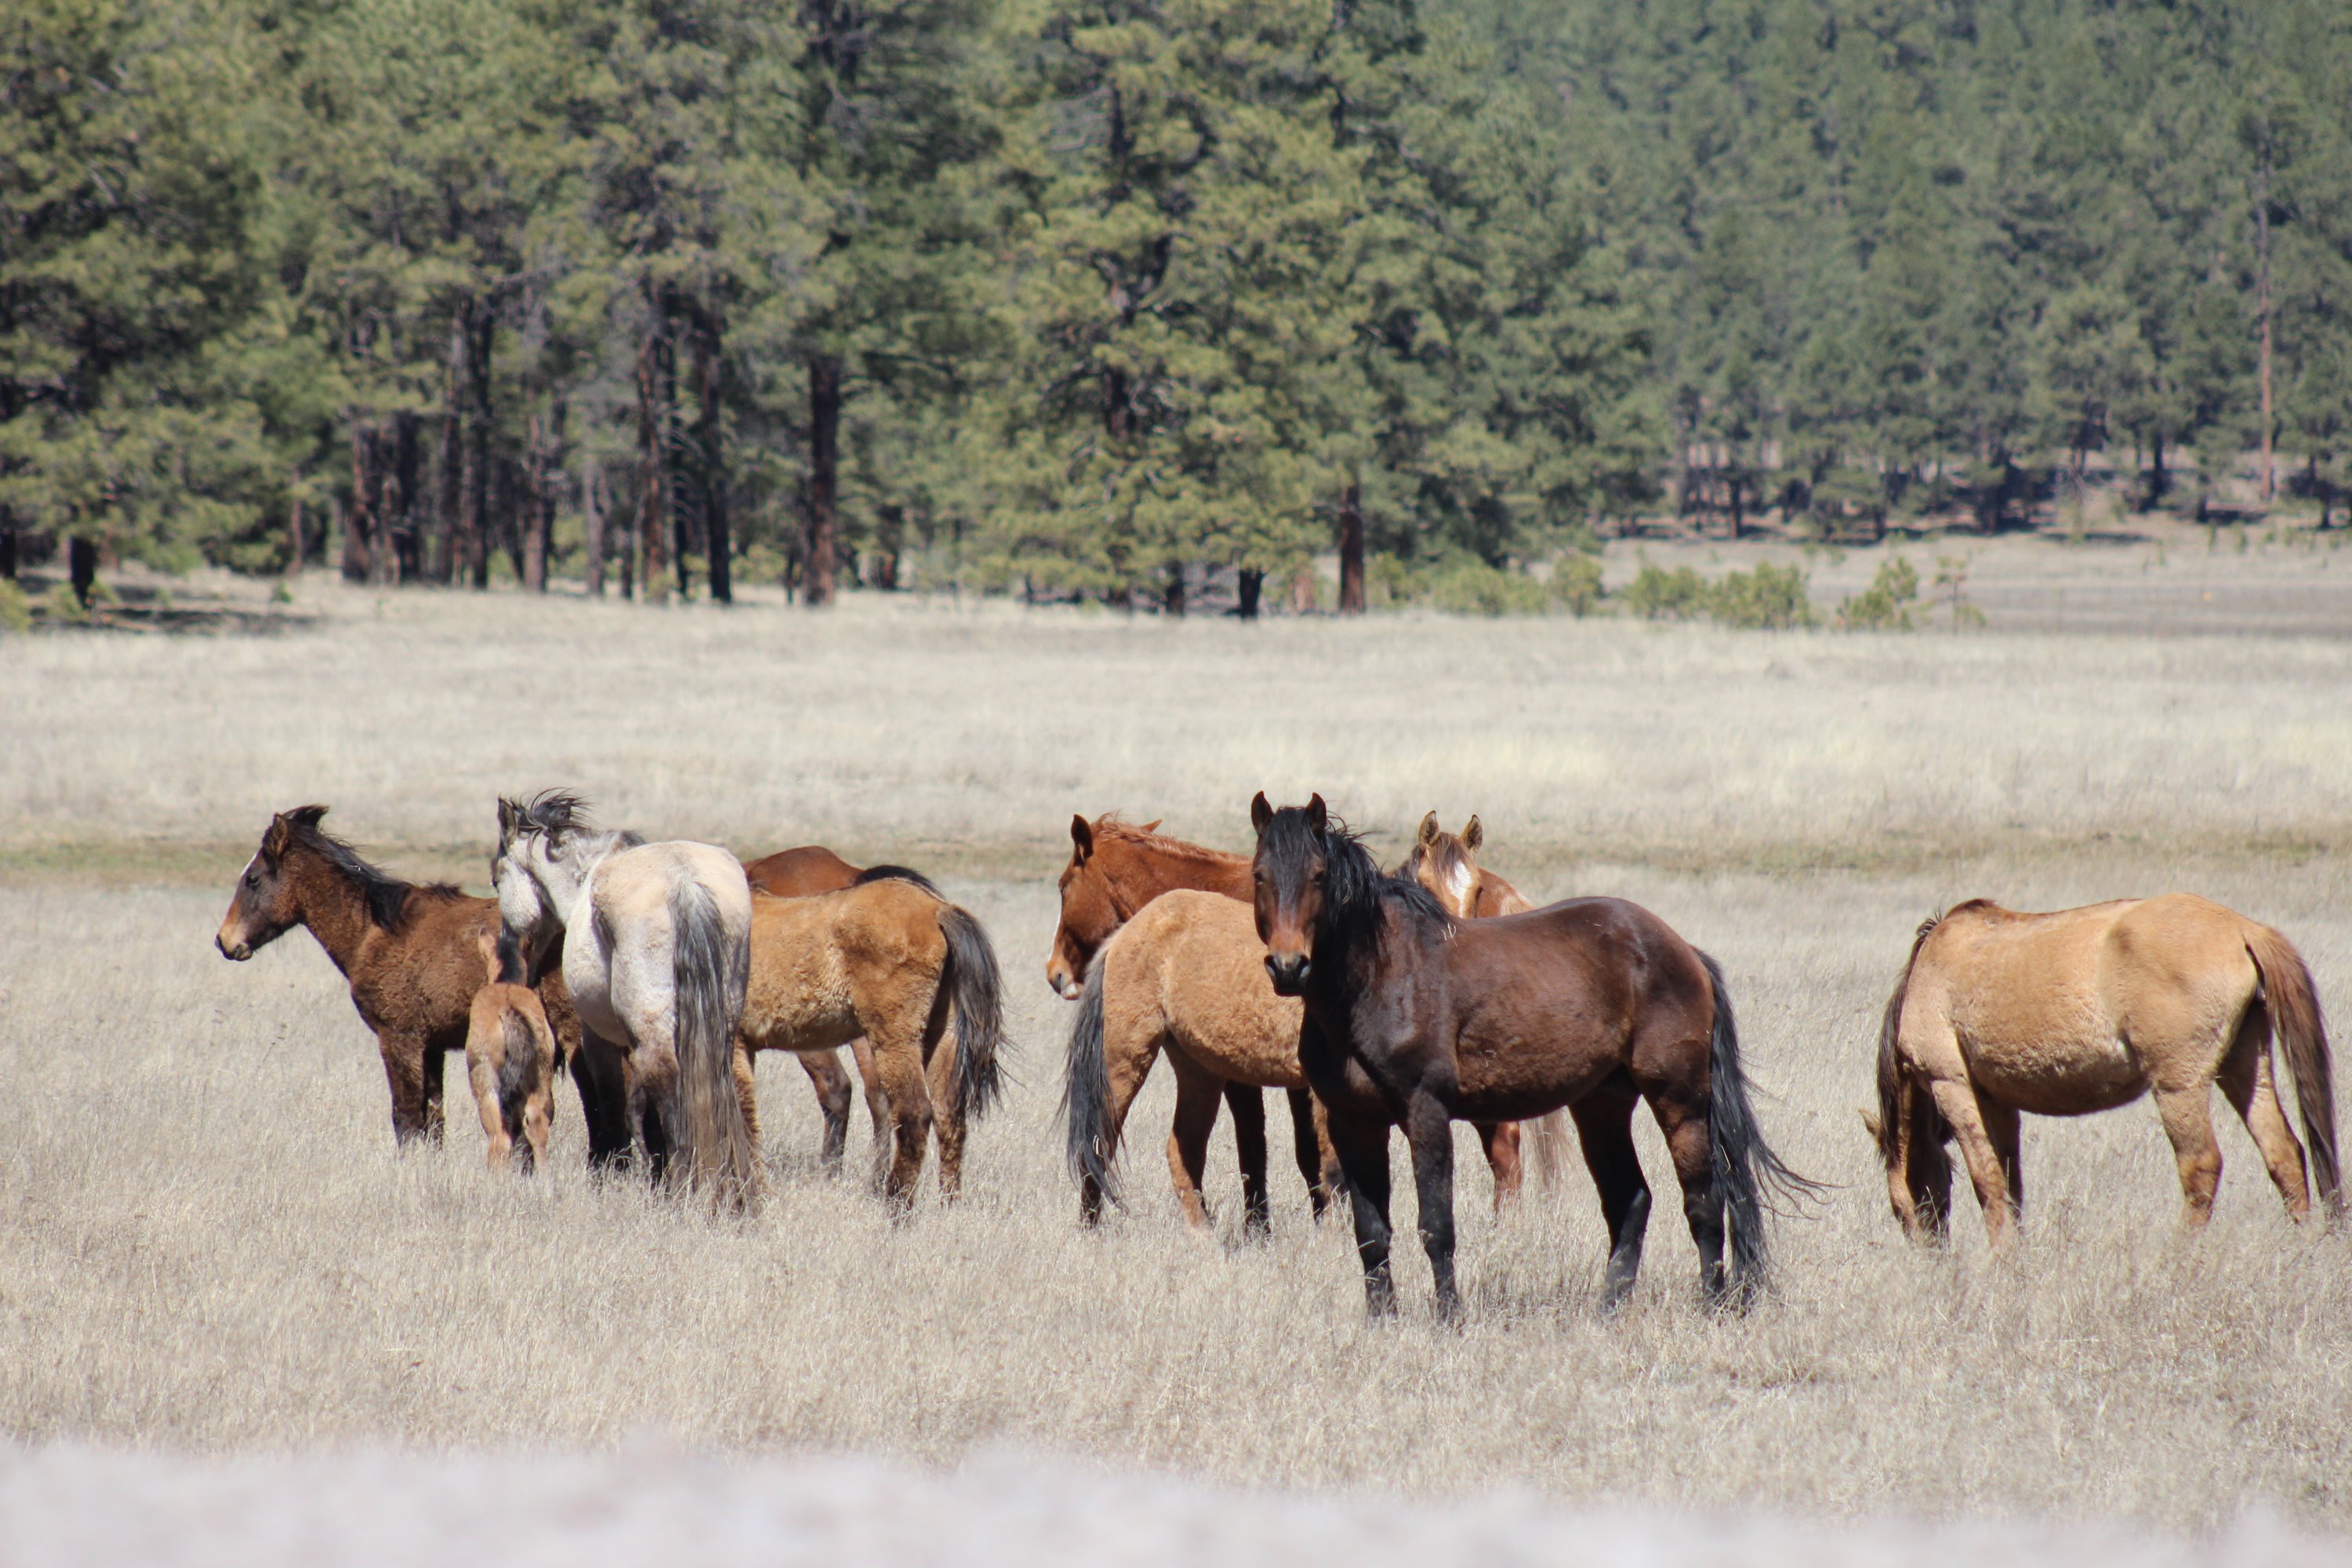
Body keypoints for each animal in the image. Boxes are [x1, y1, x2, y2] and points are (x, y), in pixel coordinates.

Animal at [216, 805, 585, 1149]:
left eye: (253, 879)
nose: (224, 941)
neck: (373, 933)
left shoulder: (398, 1037)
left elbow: (405, 1118)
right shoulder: (432, 1046)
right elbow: (434, 1120)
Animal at [493, 791, 759, 1199]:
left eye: (496, 881)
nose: (516, 967)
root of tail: (685, 883)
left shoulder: (598, 1039)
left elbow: (611, 1107)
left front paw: (608, 1171)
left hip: (653, 1040)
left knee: (671, 1107)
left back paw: (680, 1192)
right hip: (718, 1031)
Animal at [735, 877, 1005, 1205]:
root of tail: (937, 909)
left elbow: (740, 1119)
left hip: (895, 1044)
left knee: (914, 1113)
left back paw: (896, 1205)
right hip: (942, 1041)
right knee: (949, 1119)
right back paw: (948, 1207)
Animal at [1868, 895, 2342, 1244]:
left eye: (1898, 1207)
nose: (1931, 1258)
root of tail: (2242, 929)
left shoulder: (1953, 1086)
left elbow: (1987, 1185)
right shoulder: (1999, 1104)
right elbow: (2010, 1188)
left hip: (2179, 1087)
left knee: (2201, 1168)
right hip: (2245, 1068)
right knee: (2284, 1154)